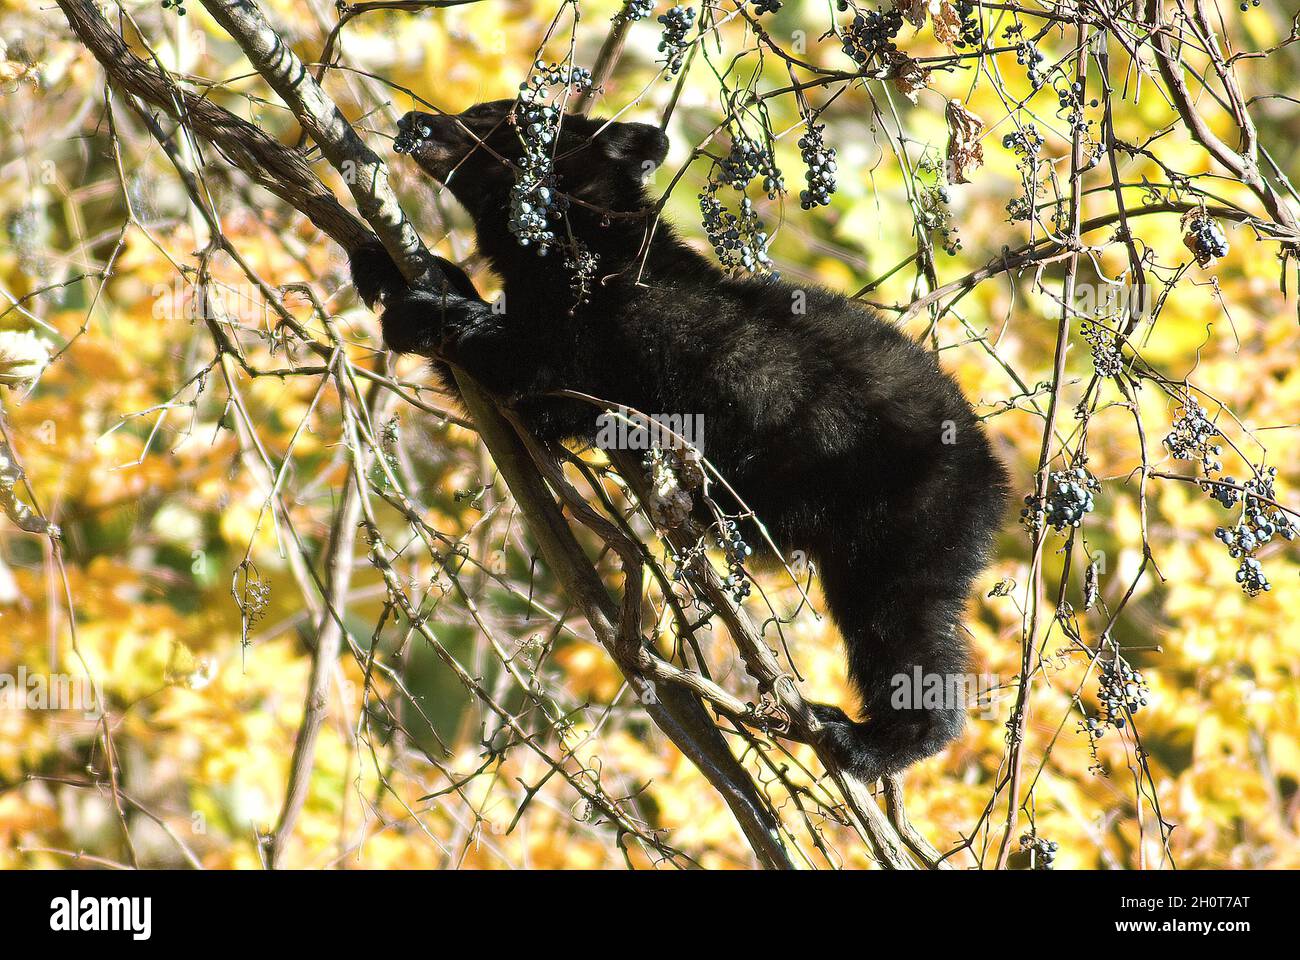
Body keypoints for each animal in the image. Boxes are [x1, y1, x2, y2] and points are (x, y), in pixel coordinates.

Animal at [349, 99, 1009, 782]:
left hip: (909, 522)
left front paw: (431, 311)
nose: (414, 121)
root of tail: (994, 472)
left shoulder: (605, 342)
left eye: (497, 114)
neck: (578, 248)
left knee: (903, 627)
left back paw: (875, 740)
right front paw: (381, 262)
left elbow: (536, 377)